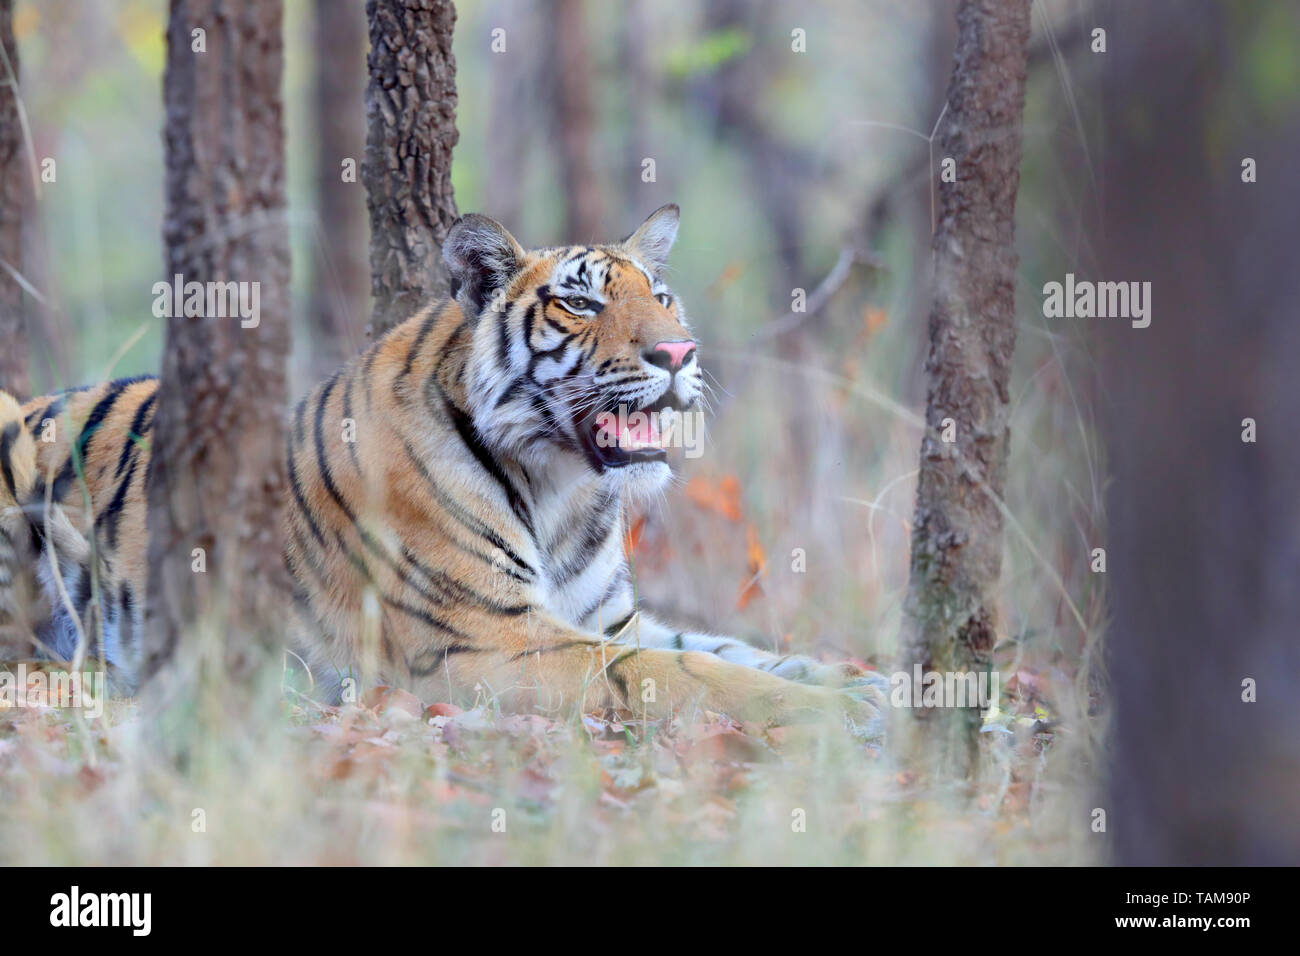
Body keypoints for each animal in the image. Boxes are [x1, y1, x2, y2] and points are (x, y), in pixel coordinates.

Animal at [0, 205, 885, 730]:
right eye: (582, 303)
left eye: (662, 298)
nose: (678, 352)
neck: (566, 492)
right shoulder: (489, 643)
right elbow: (693, 672)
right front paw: (835, 715)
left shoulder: (607, 618)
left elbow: (731, 647)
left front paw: (871, 682)